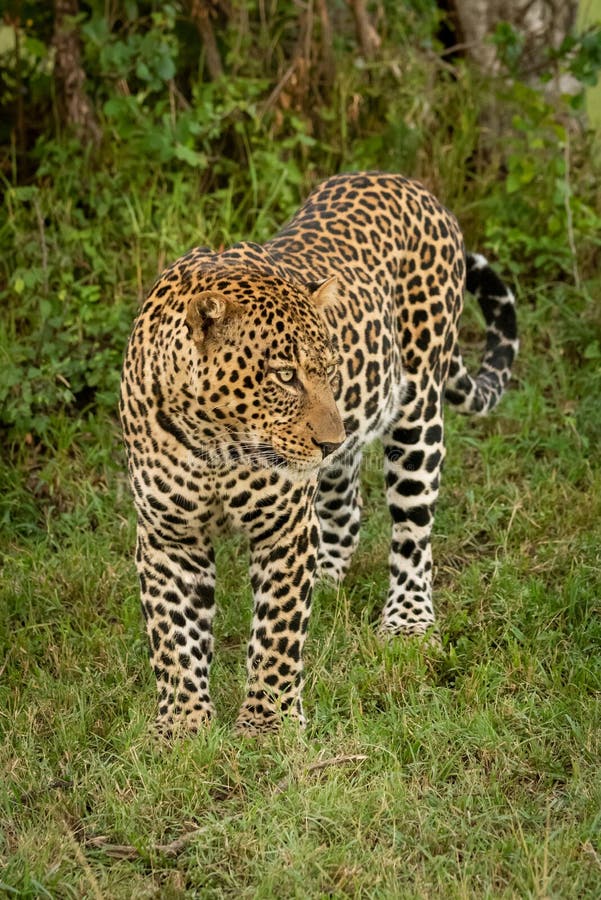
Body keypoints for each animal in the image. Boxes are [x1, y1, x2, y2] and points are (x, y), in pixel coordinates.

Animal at [120, 172, 518, 737]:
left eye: (328, 369)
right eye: (286, 375)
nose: (331, 437)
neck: (216, 440)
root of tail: (406, 182)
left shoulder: (283, 527)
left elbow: (278, 632)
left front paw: (267, 726)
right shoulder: (168, 534)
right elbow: (173, 636)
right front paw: (180, 726)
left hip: (418, 413)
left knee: (413, 530)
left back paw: (408, 620)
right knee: (345, 509)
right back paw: (328, 578)